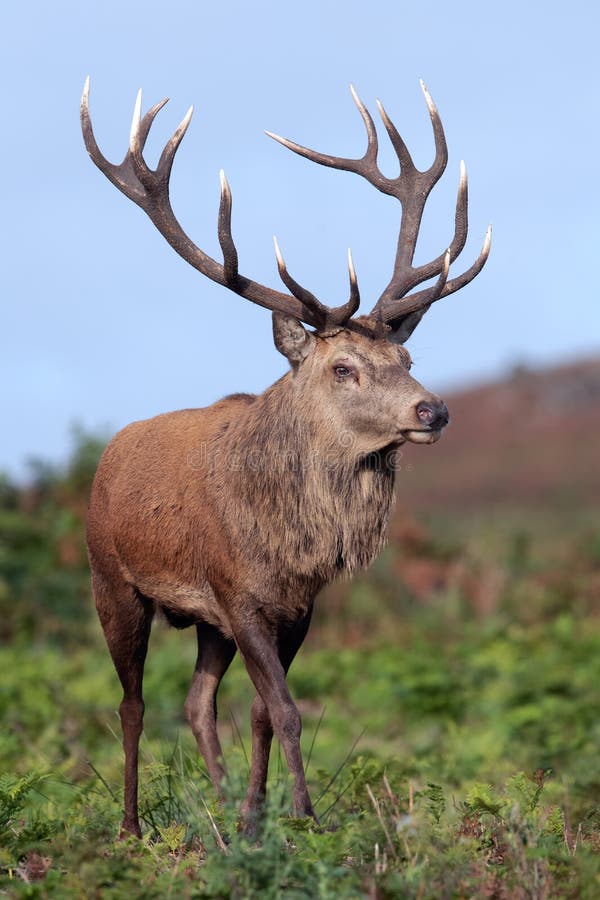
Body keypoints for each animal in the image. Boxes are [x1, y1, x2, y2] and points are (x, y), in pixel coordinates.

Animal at [81, 77, 490, 838]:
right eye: (343, 368)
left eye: (407, 359)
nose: (434, 411)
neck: (289, 539)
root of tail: (108, 455)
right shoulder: (238, 594)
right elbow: (290, 712)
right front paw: (303, 818)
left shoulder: (295, 607)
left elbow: (264, 713)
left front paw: (256, 819)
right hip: (112, 581)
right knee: (131, 703)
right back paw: (129, 826)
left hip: (205, 621)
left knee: (198, 702)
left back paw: (216, 806)